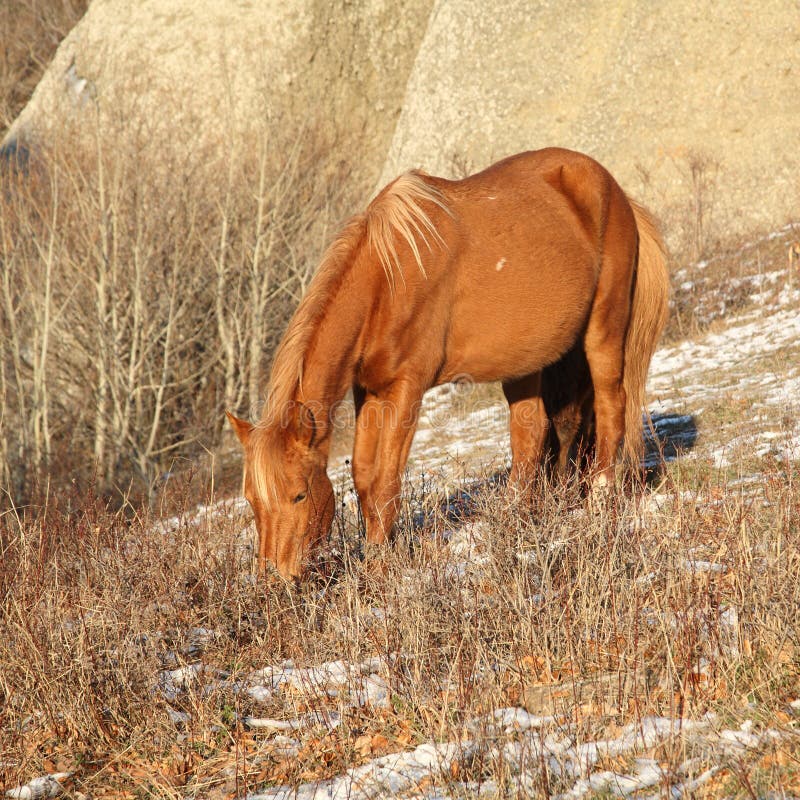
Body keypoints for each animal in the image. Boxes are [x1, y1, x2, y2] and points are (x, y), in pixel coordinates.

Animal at [227, 147, 670, 580]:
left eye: (299, 494)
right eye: (251, 499)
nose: (274, 576)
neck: (388, 280)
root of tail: (615, 191)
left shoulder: (407, 388)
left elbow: (385, 483)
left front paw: (380, 568)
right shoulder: (368, 390)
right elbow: (364, 478)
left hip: (604, 329)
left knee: (611, 407)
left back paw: (598, 505)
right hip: (525, 363)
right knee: (531, 434)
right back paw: (517, 523)